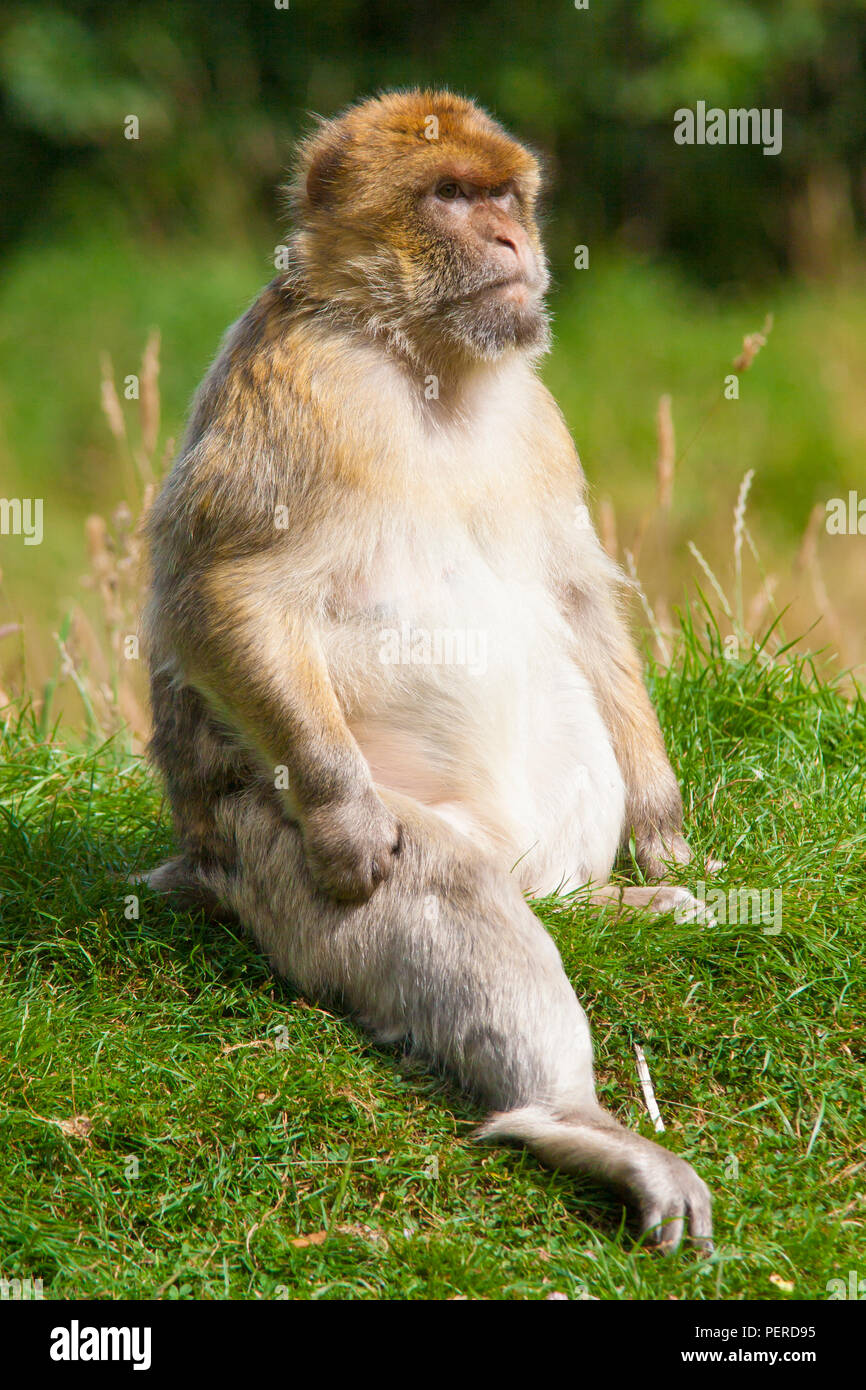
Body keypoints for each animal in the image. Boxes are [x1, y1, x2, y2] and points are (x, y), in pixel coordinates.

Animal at [142, 89, 712, 1250]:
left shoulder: (537, 412)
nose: (509, 241)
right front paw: (346, 820)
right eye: (451, 195)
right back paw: (572, 1118)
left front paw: (661, 823)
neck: (418, 352)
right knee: (447, 885)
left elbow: (576, 593)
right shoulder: (299, 381)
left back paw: (610, 903)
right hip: (269, 855)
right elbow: (218, 595)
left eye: (505, 195)